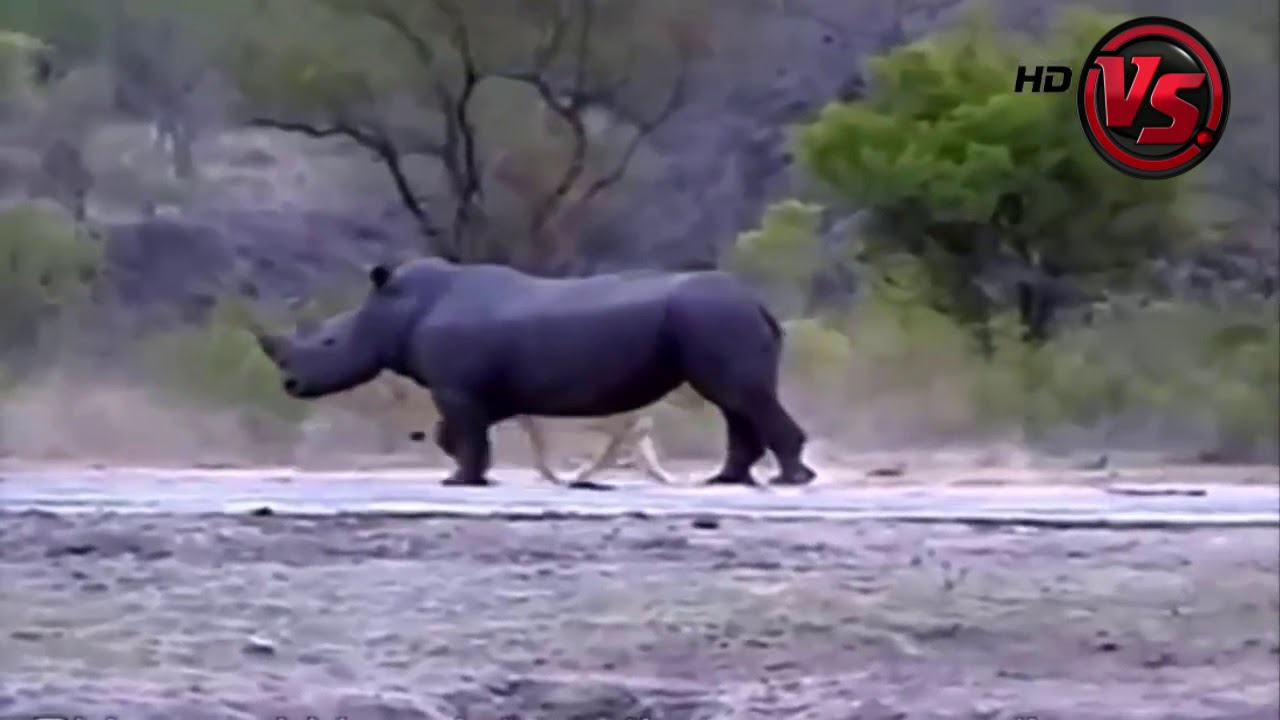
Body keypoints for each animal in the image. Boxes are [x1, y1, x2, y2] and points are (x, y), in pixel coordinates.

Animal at [253, 257, 816, 488]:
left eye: (328, 342)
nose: (290, 386)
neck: (395, 307)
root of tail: (758, 303)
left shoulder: (457, 388)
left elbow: (463, 431)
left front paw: (459, 482)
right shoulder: (476, 391)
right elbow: (455, 432)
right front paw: (470, 474)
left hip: (714, 318)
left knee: (741, 396)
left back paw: (789, 480)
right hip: (717, 319)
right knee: (734, 403)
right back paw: (727, 480)